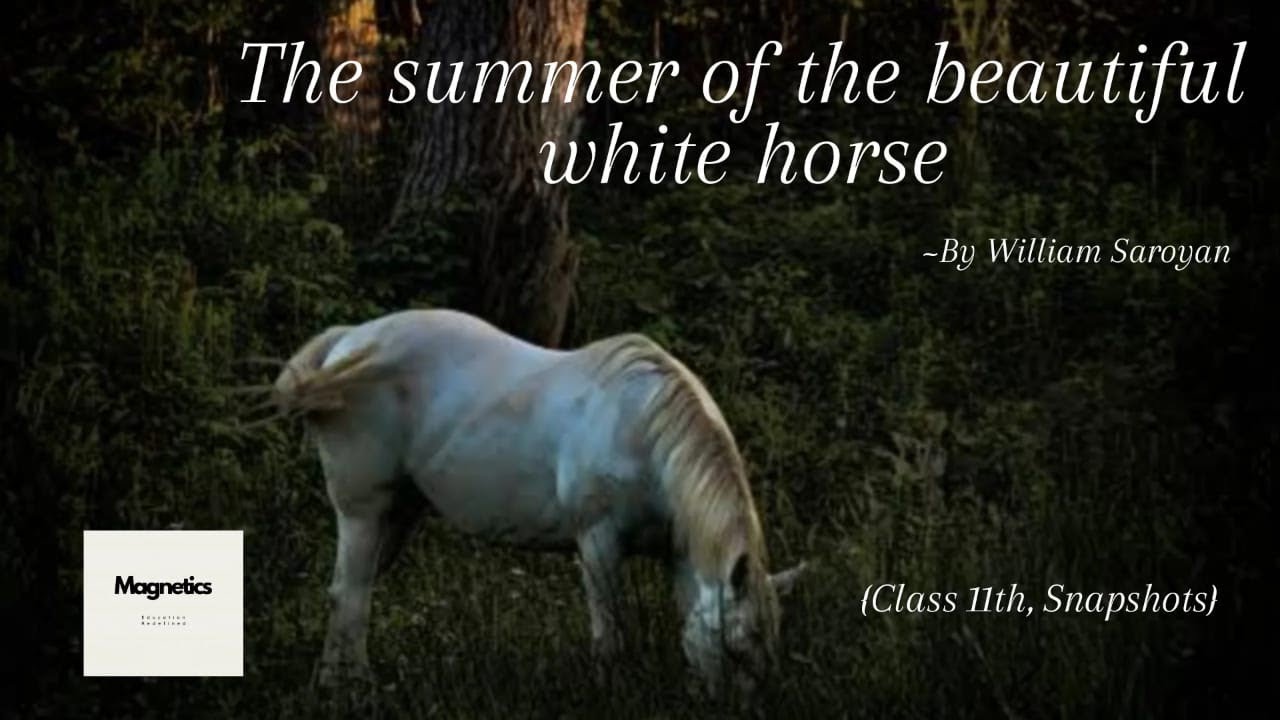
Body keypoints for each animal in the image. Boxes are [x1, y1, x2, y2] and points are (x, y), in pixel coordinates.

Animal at [263, 309, 806, 698]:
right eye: (736, 647)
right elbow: (611, 633)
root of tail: (347, 340)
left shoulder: (678, 553)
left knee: (354, 592)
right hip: (362, 510)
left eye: (769, 651)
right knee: (349, 594)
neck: (640, 428)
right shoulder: (597, 544)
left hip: (397, 515)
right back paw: (350, 687)